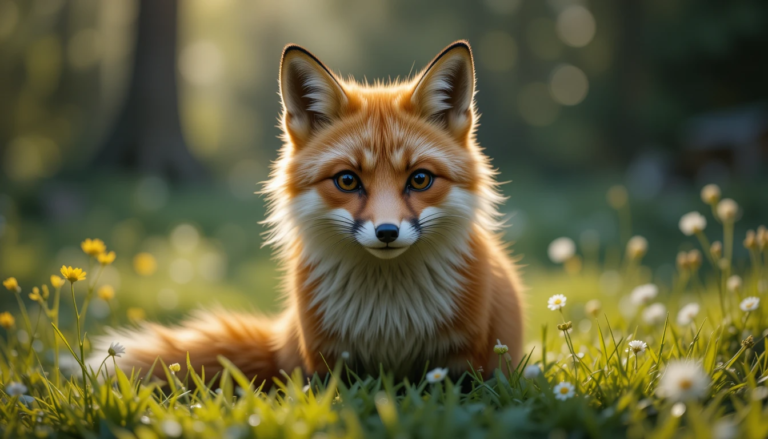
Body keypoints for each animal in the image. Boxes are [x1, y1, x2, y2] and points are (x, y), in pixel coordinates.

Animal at [94, 40, 525, 384]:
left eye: (420, 179)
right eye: (347, 181)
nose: (387, 232)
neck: (389, 314)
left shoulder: (461, 362)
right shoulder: (326, 363)